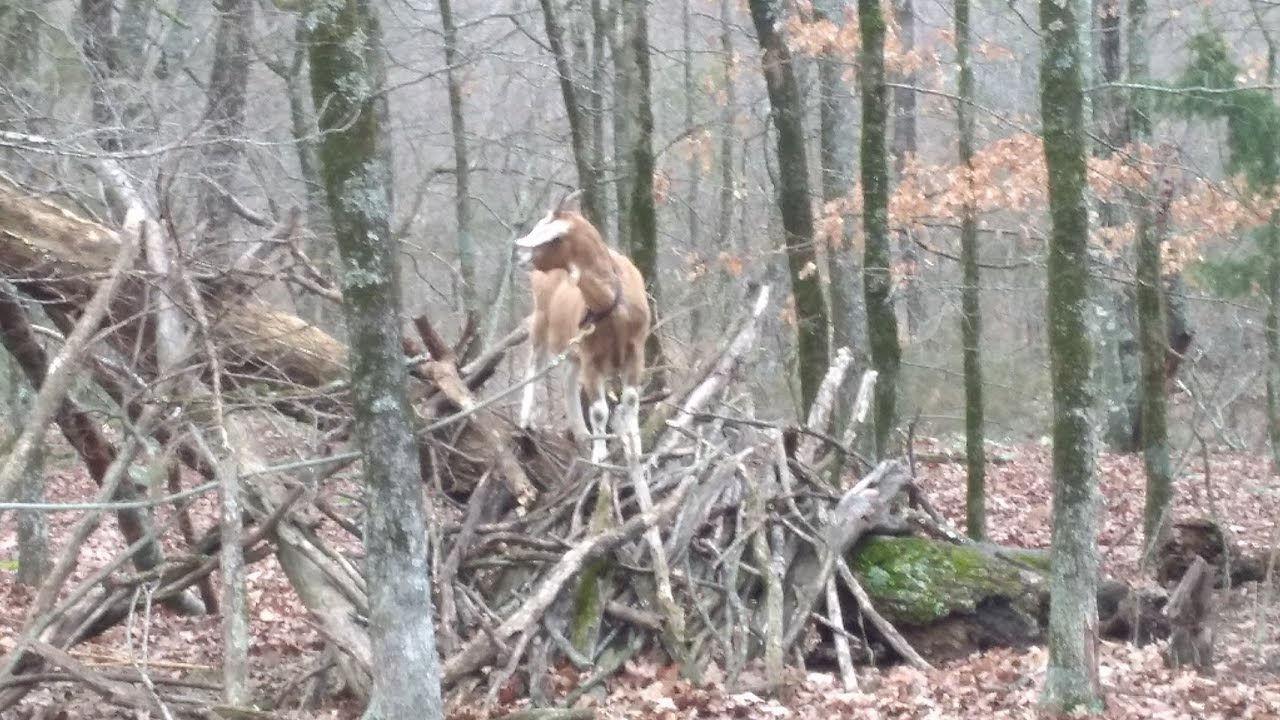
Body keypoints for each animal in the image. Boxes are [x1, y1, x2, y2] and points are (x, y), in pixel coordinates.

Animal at [515, 190, 650, 464]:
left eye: (547, 237)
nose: (520, 256)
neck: (612, 305)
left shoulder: (636, 350)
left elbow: (630, 399)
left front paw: (635, 448)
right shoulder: (591, 358)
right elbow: (599, 411)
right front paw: (600, 456)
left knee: (567, 376)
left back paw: (581, 433)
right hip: (541, 317)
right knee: (535, 363)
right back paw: (526, 421)